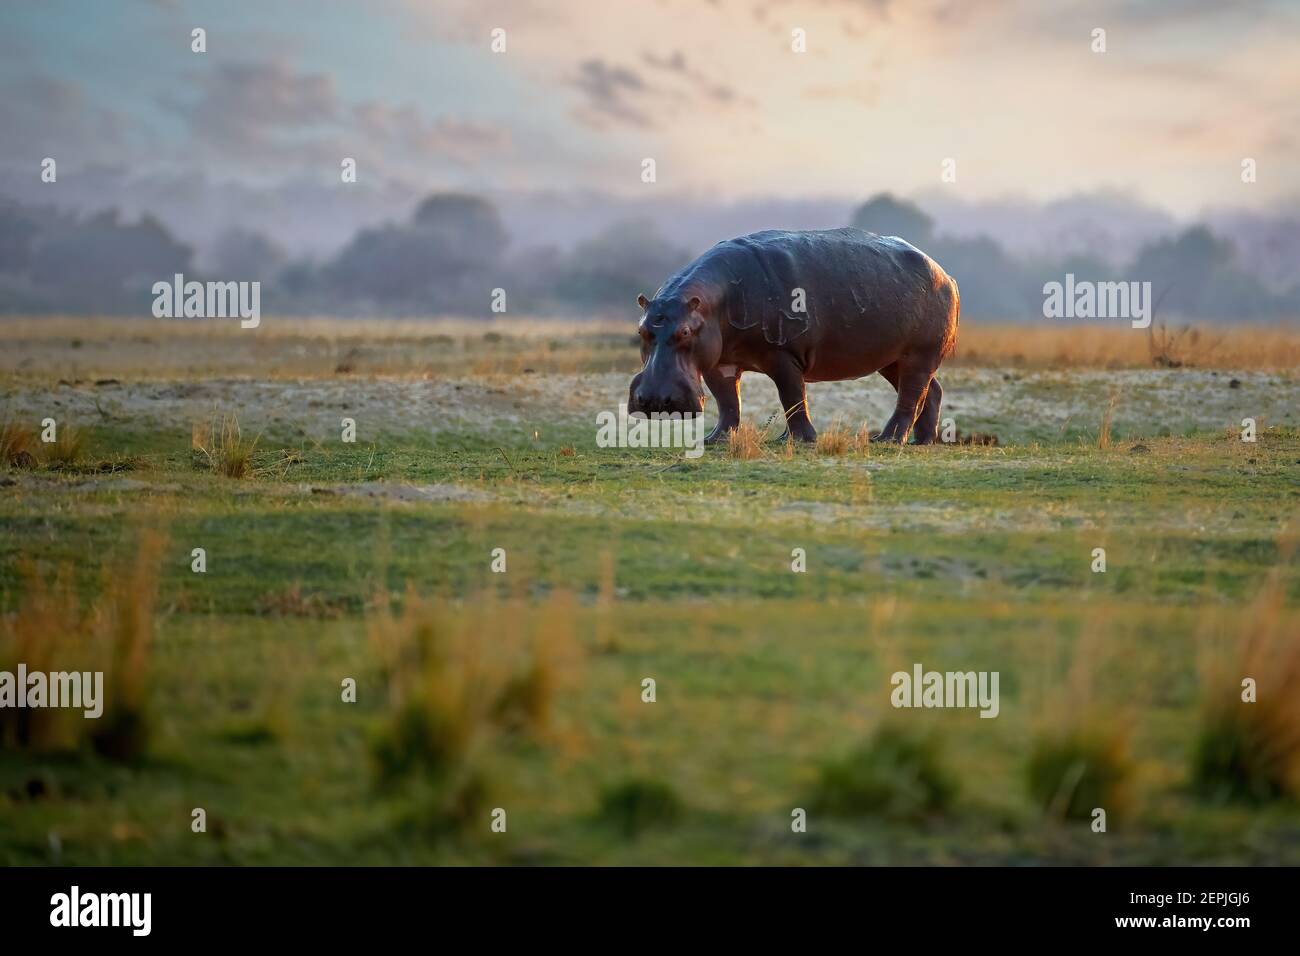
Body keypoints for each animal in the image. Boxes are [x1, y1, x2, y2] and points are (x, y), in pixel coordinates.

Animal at [627, 228, 960, 443]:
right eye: (641, 330)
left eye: (685, 332)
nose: (655, 399)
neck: (712, 303)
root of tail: (945, 274)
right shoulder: (718, 361)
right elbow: (727, 401)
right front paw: (715, 439)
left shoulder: (783, 356)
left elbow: (792, 396)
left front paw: (797, 441)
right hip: (890, 358)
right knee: (931, 391)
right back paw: (923, 441)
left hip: (919, 354)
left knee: (911, 394)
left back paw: (888, 439)